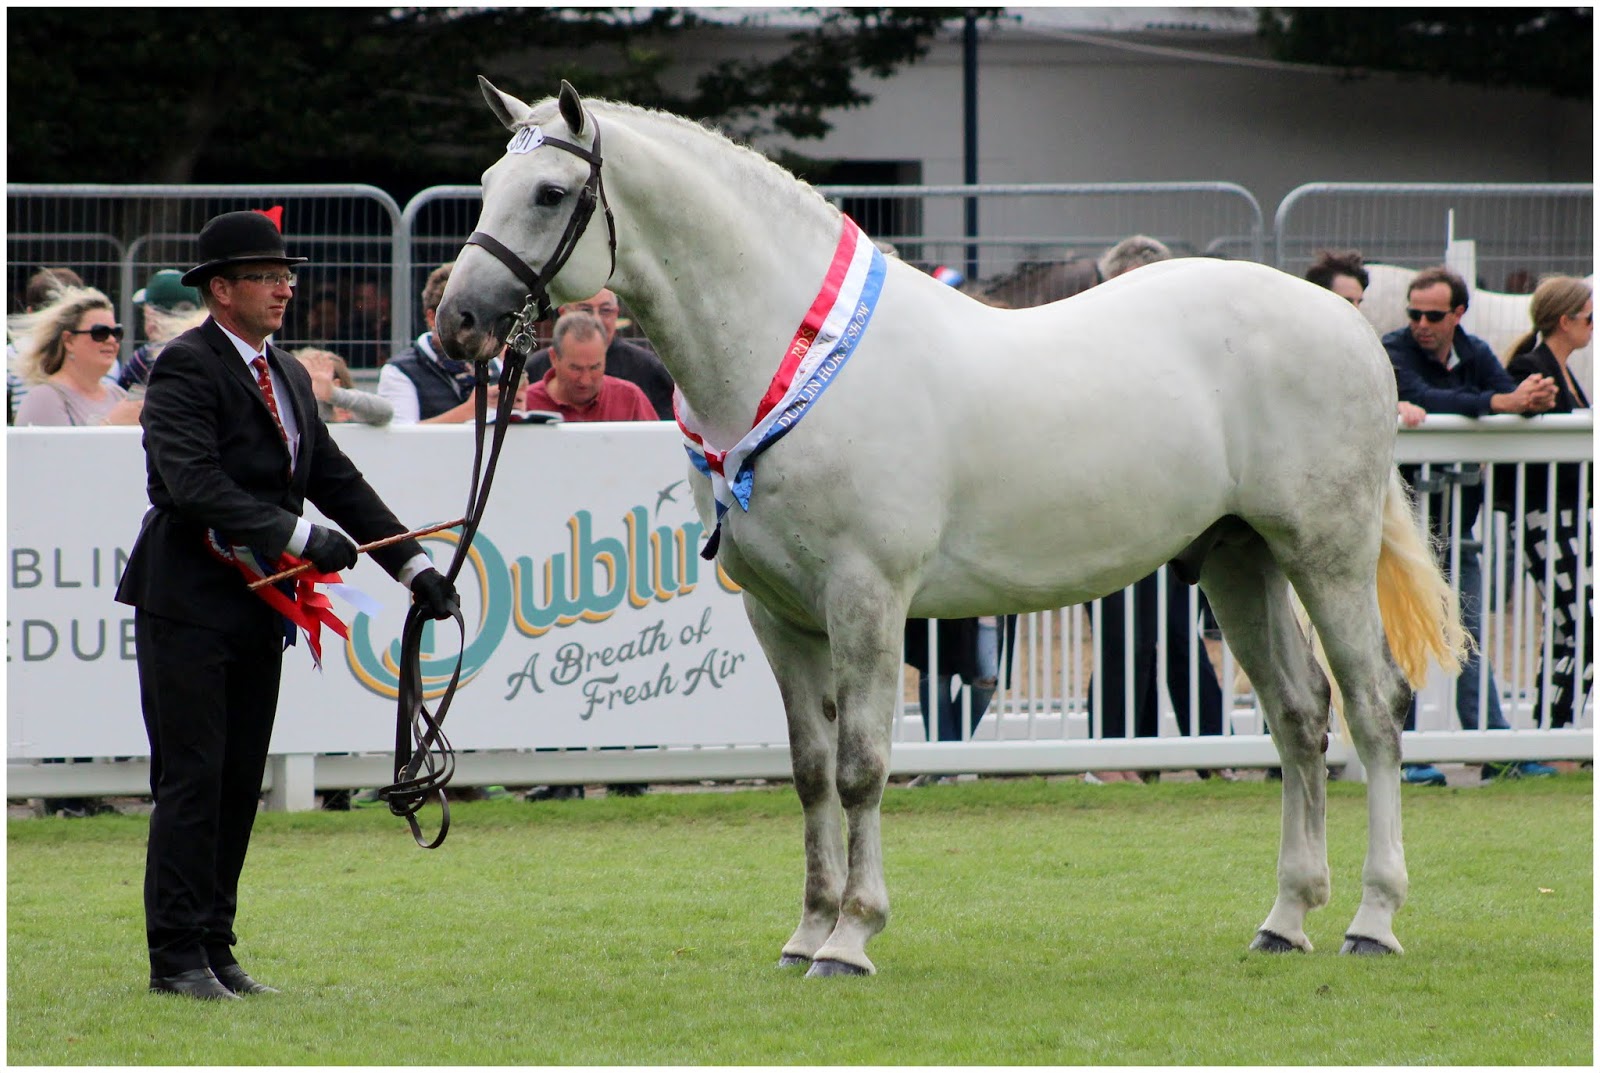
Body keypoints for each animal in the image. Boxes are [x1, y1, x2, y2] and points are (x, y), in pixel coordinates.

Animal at [436, 80, 1468, 977]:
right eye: (485, 185)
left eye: (551, 191)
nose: (459, 322)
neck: (792, 356)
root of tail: (1345, 322)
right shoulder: (782, 616)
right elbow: (810, 772)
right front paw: (805, 932)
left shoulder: (867, 599)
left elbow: (862, 767)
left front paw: (852, 937)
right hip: (1236, 558)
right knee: (1299, 715)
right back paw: (1287, 917)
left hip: (1324, 553)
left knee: (1374, 709)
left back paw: (1373, 918)